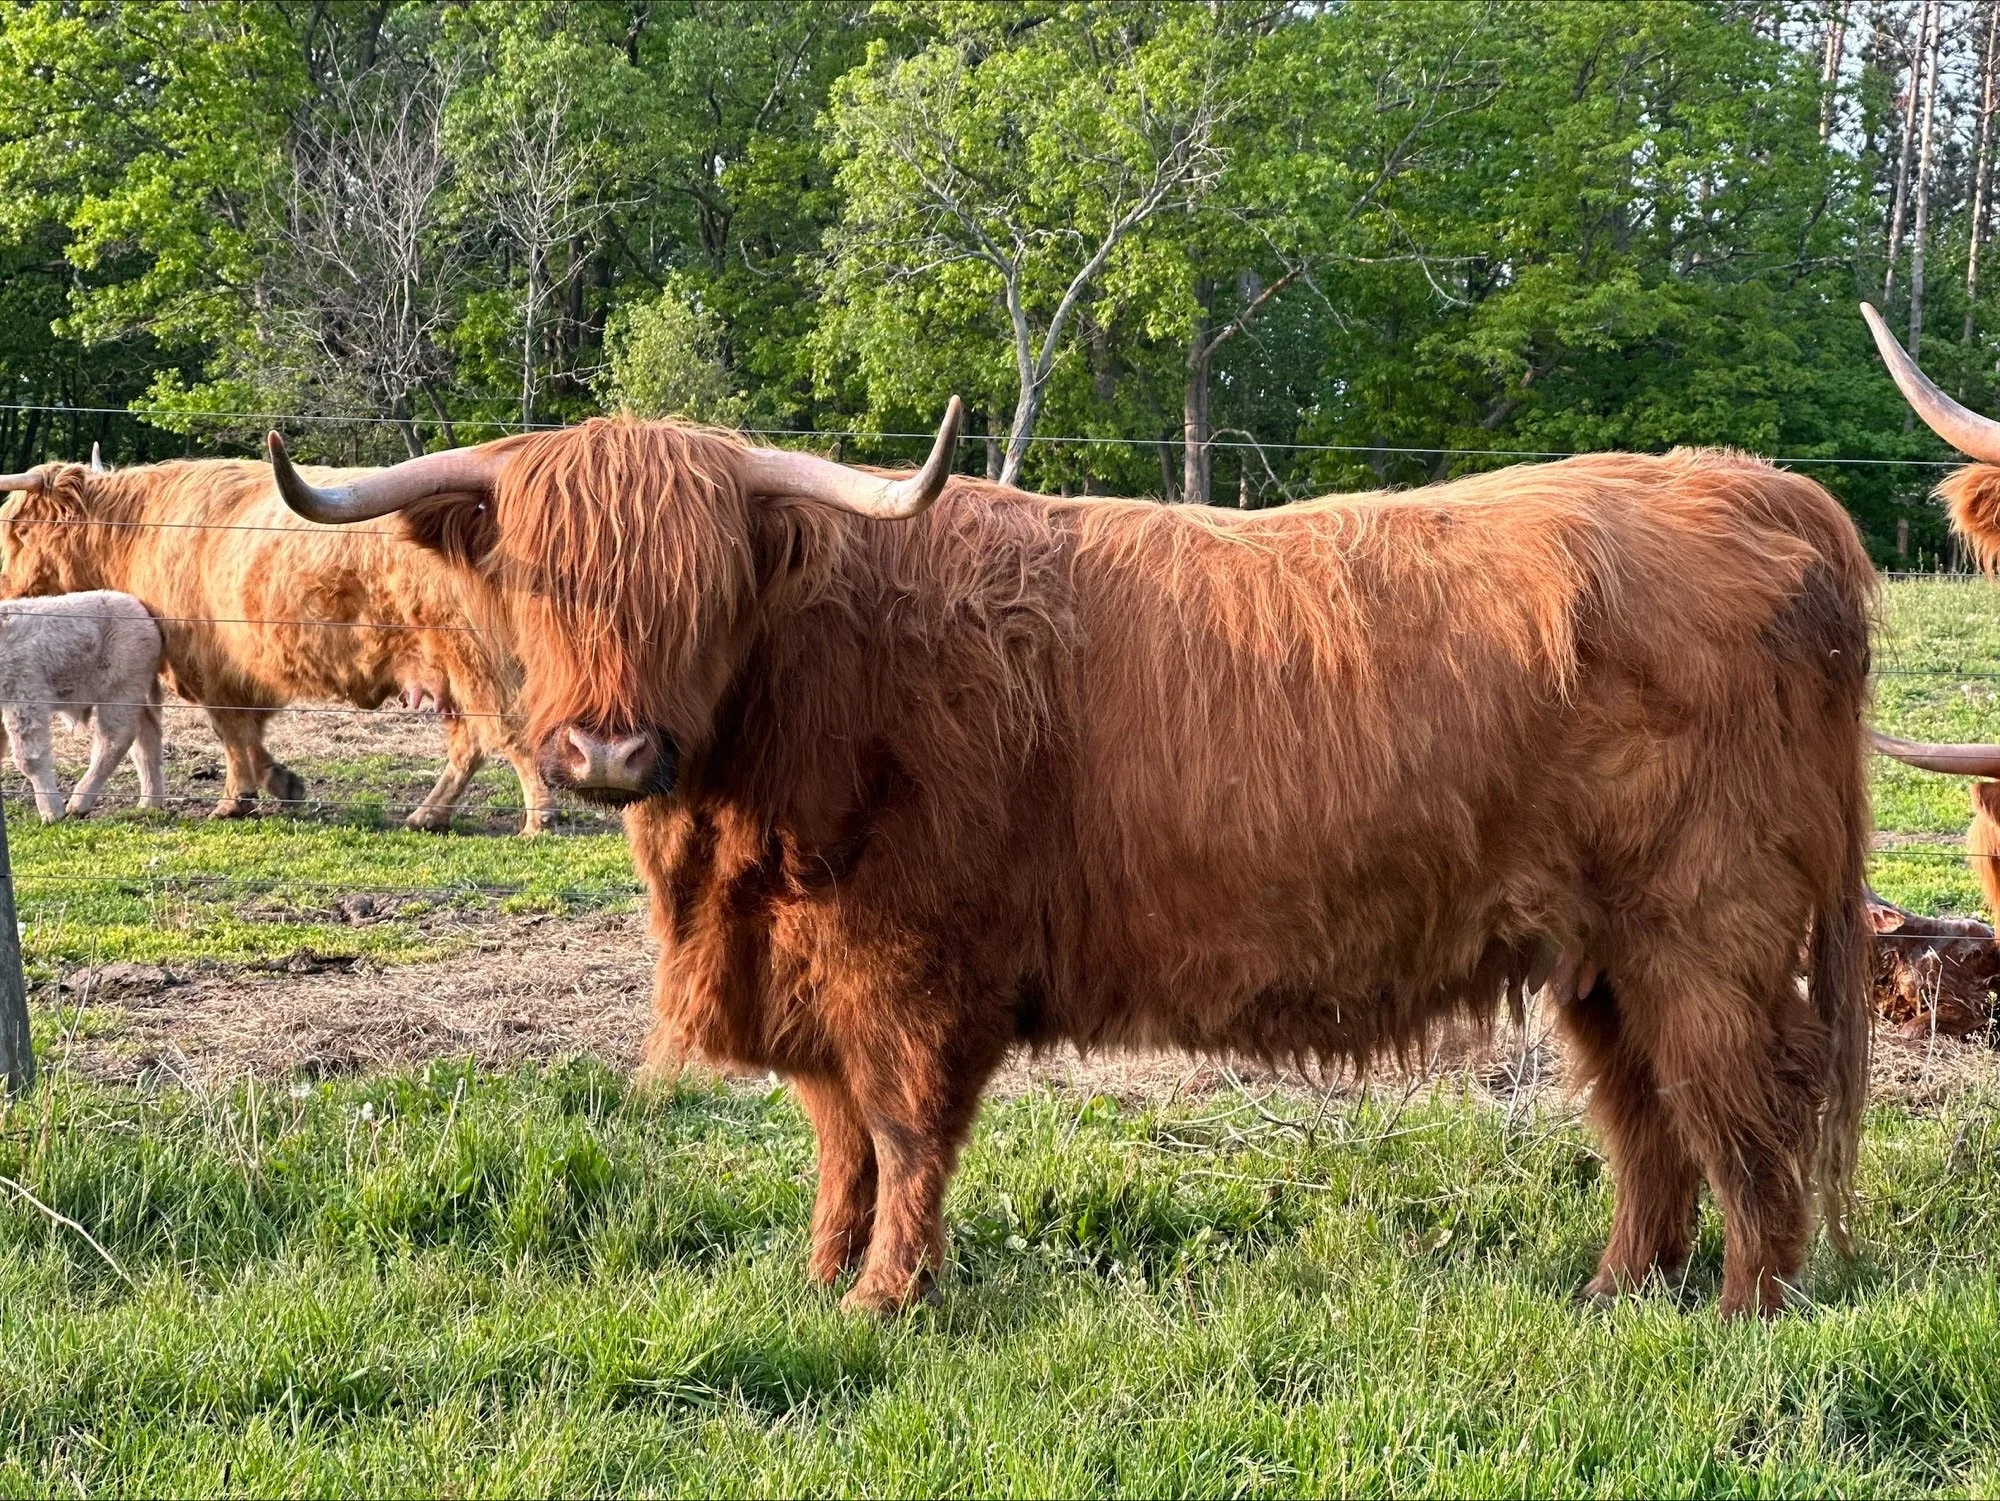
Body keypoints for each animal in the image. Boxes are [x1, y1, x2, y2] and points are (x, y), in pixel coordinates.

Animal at [0, 589, 165, 821]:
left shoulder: (23, 695)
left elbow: (29, 758)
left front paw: (51, 812)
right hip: (132, 693)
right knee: (146, 734)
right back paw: (149, 802)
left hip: (121, 687)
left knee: (114, 738)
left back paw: (78, 803)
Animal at [266, 401, 1875, 1318]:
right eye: (539, 578)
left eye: (703, 586)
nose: (606, 754)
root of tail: (1762, 492)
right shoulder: (813, 977)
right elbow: (837, 1142)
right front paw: (816, 1278)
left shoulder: (913, 969)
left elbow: (904, 1134)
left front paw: (886, 1302)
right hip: (1602, 951)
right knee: (1645, 1116)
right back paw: (1615, 1291)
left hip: (1706, 928)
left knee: (1740, 1109)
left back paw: (1741, 1310)